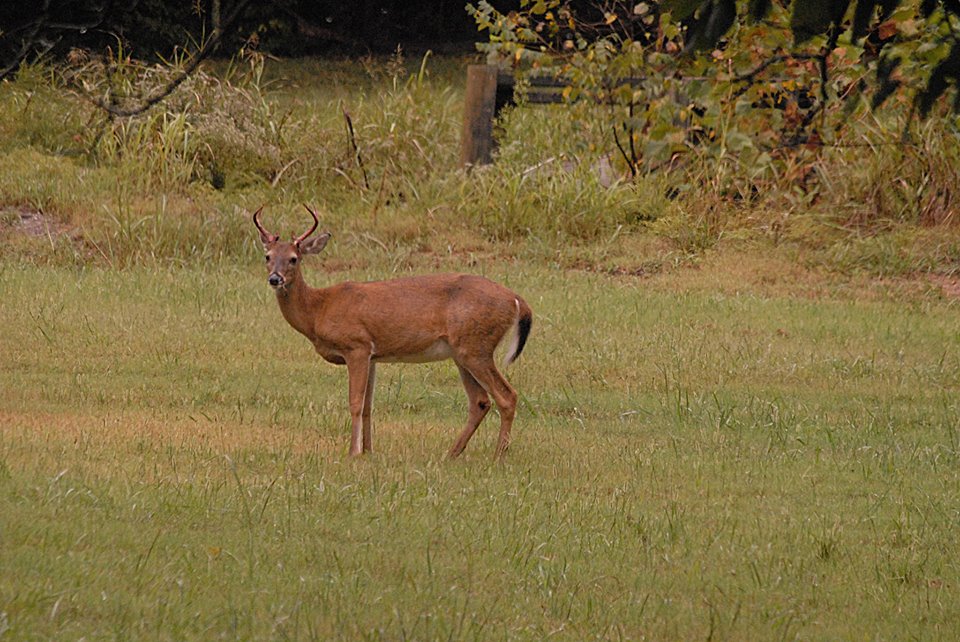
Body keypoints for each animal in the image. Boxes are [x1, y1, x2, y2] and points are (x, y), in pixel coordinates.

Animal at [253, 205, 533, 459]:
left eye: (294, 258)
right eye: (267, 256)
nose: (275, 279)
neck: (318, 310)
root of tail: (517, 300)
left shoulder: (356, 345)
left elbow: (355, 402)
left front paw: (352, 452)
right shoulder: (373, 355)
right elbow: (368, 405)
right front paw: (368, 450)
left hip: (476, 347)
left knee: (507, 396)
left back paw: (498, 455)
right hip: (462, 352)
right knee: (480, 401)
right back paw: (451, 453)